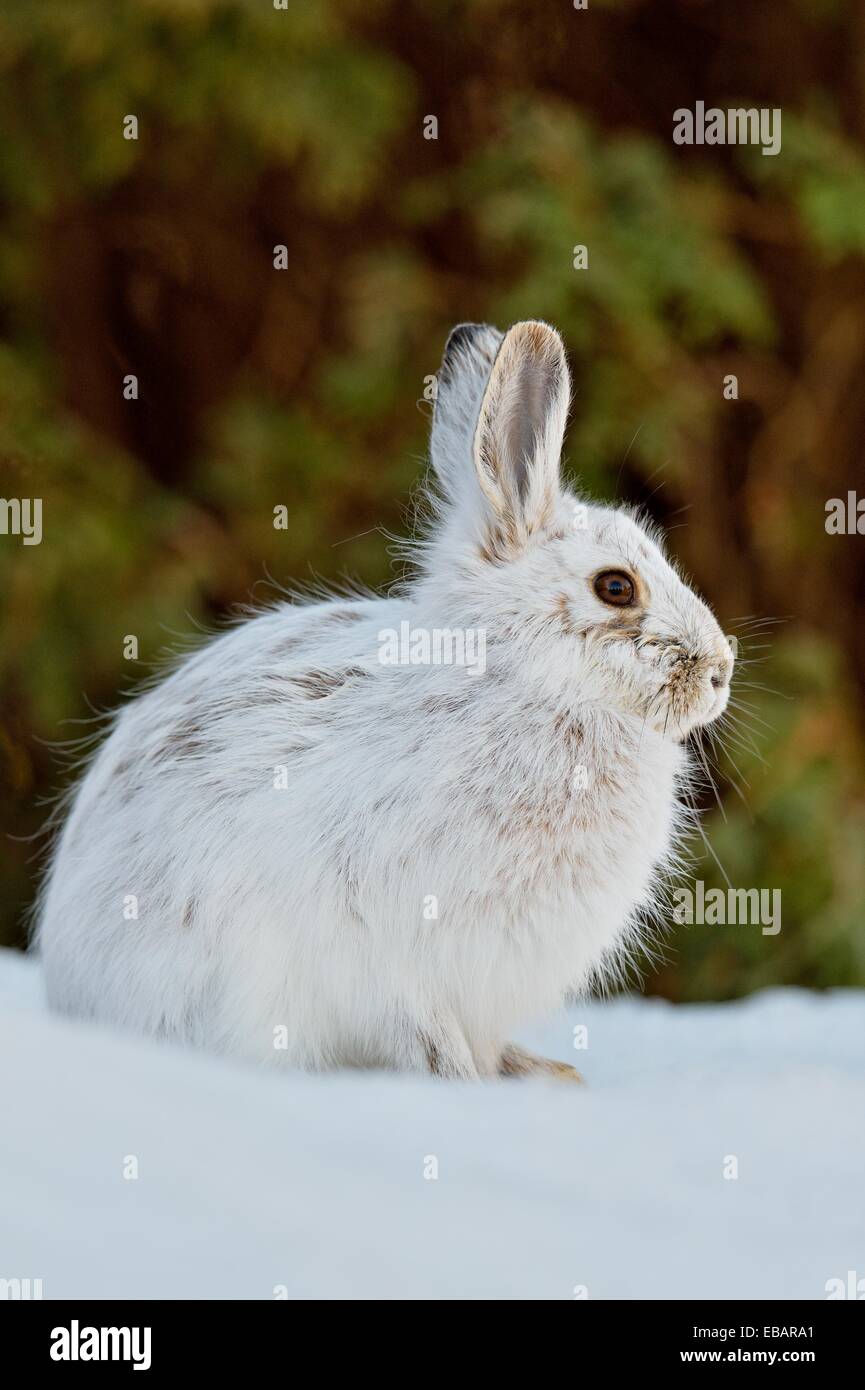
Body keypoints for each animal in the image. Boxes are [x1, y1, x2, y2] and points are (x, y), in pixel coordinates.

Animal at [34, 320, 734, 1081]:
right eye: (615, 587)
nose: (721, 671)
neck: (520, 680)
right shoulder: (393, 947)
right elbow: (424, 1029)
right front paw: (466, 1081)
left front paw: (534, 1074)